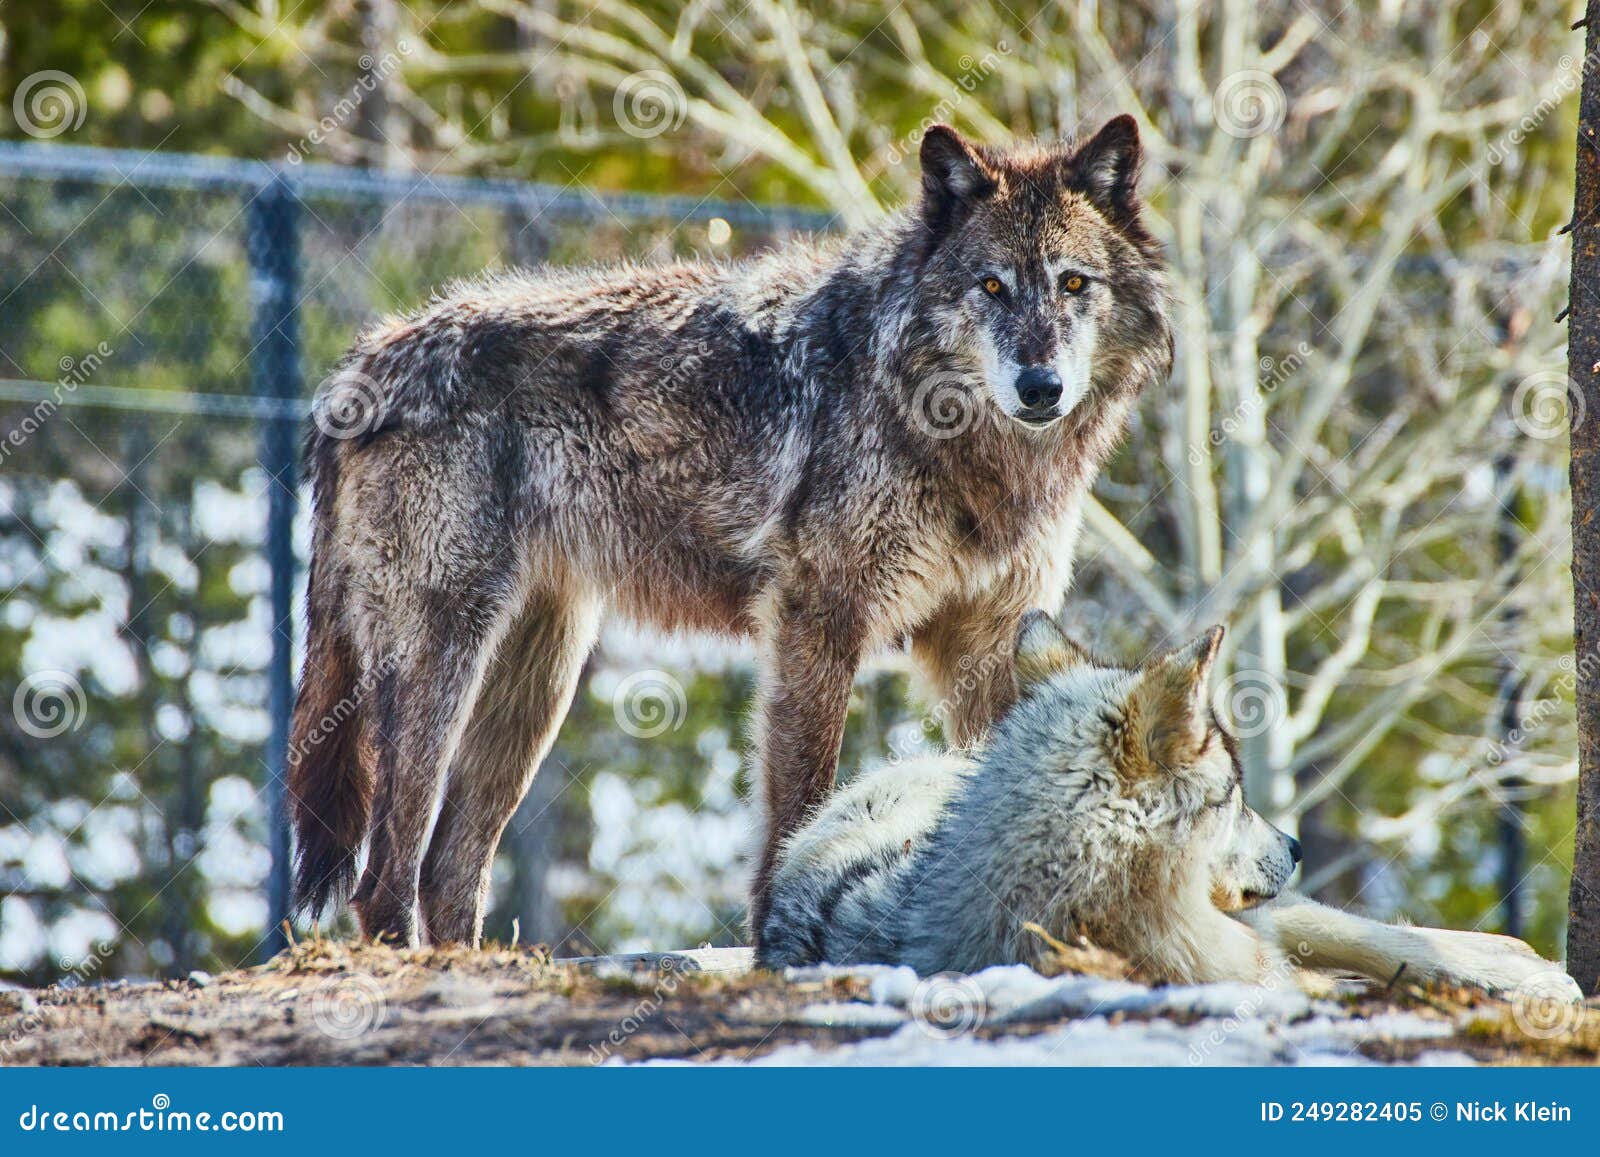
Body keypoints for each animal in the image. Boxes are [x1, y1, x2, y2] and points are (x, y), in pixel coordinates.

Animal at [287, 116, 1174, 947]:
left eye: (1073, 283)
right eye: (991, 285)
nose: (1040, 385)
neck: (957, 438)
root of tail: (365, 358)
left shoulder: (988, 640)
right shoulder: (816, 620)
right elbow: (804, 798)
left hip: (538, 680)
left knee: (449, 868)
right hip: (443, 657)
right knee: (384, 875)